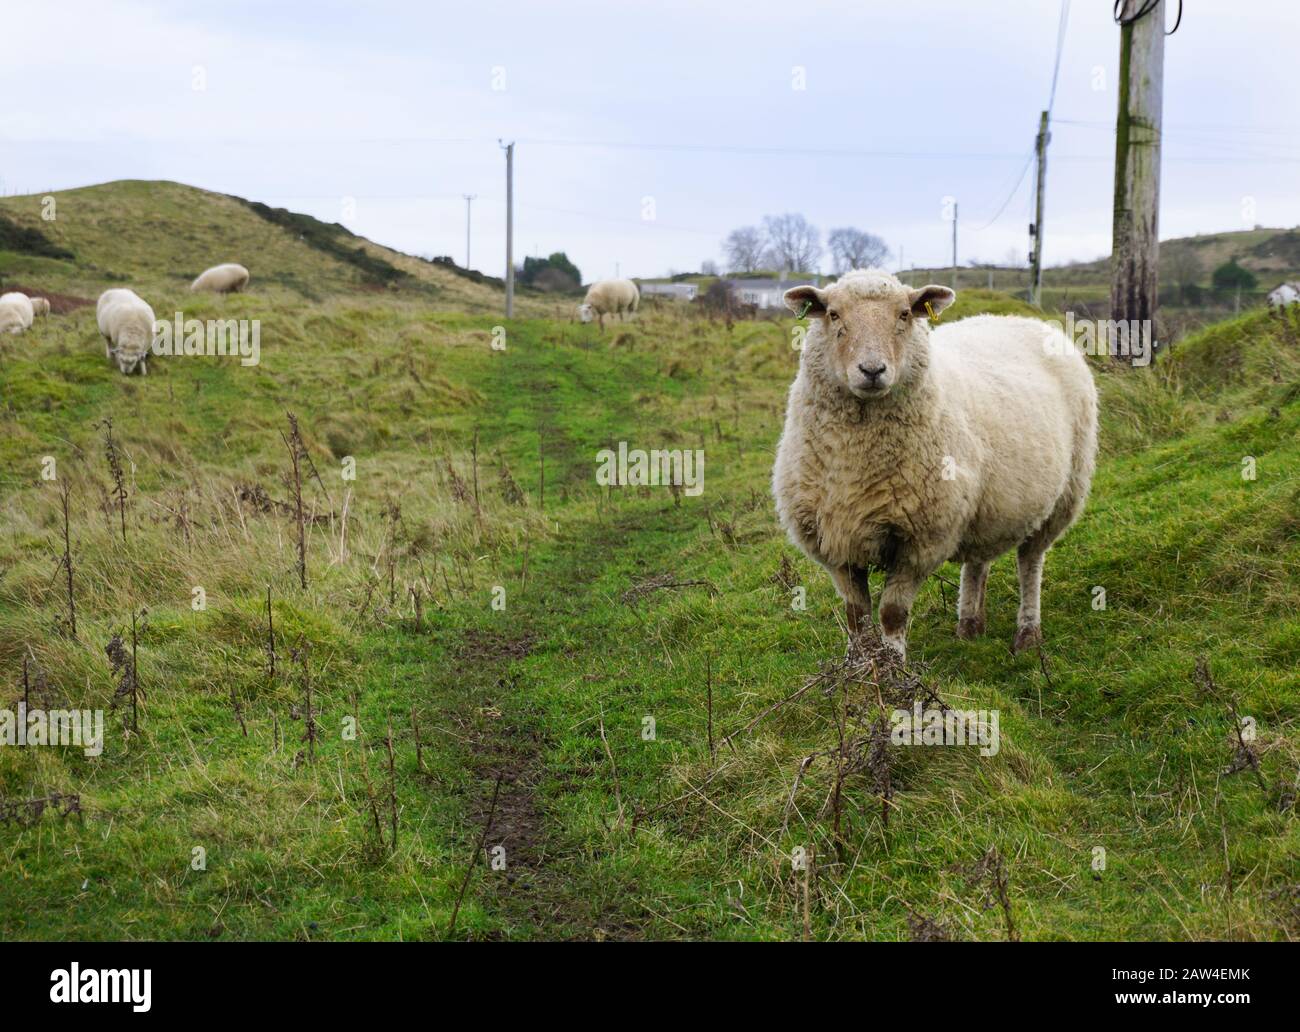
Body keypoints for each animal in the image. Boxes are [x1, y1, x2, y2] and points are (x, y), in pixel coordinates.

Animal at [772, 270, 1097, 659]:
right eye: (833, 315)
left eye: (904, 315)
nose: (872, 370)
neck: (856, 460)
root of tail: (1020, 319)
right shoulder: (833, 541)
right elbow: (856, 614)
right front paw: (857, 666)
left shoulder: (921, 540)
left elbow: (892, 613)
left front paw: (894, 667)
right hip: (982, 504)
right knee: (978, 560)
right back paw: (969, 625)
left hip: (1064, 496)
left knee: (1030, 563)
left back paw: (1028, 633)